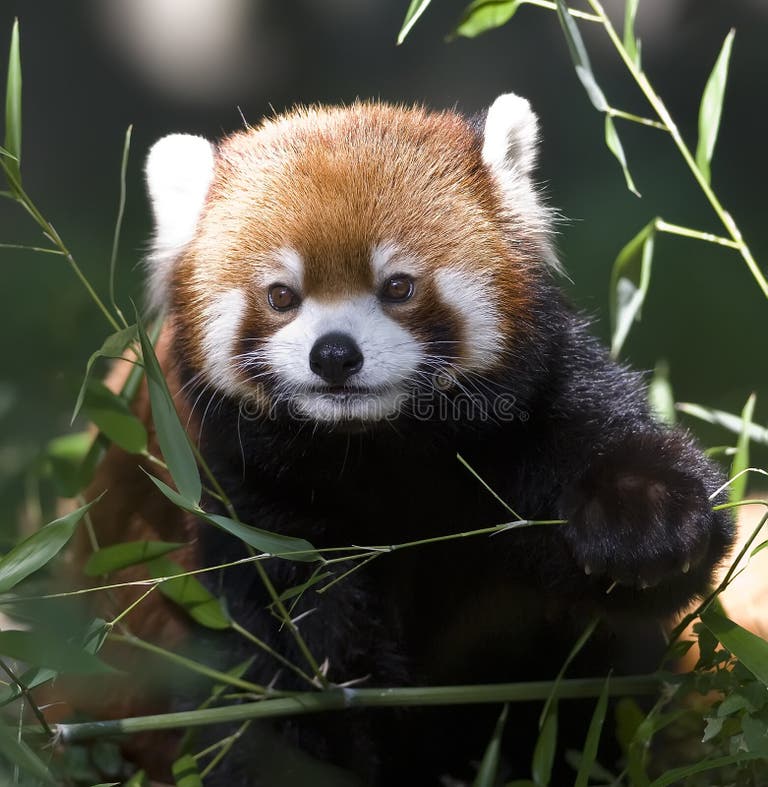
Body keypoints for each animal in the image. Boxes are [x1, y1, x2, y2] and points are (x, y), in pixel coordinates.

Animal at [77, 94, 734, 785]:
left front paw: (642, 516)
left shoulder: (540, 410)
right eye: (281, 296)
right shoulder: (232, 492)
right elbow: (263, 669)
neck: (376, 448)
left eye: (398, 286)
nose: (334, 355)